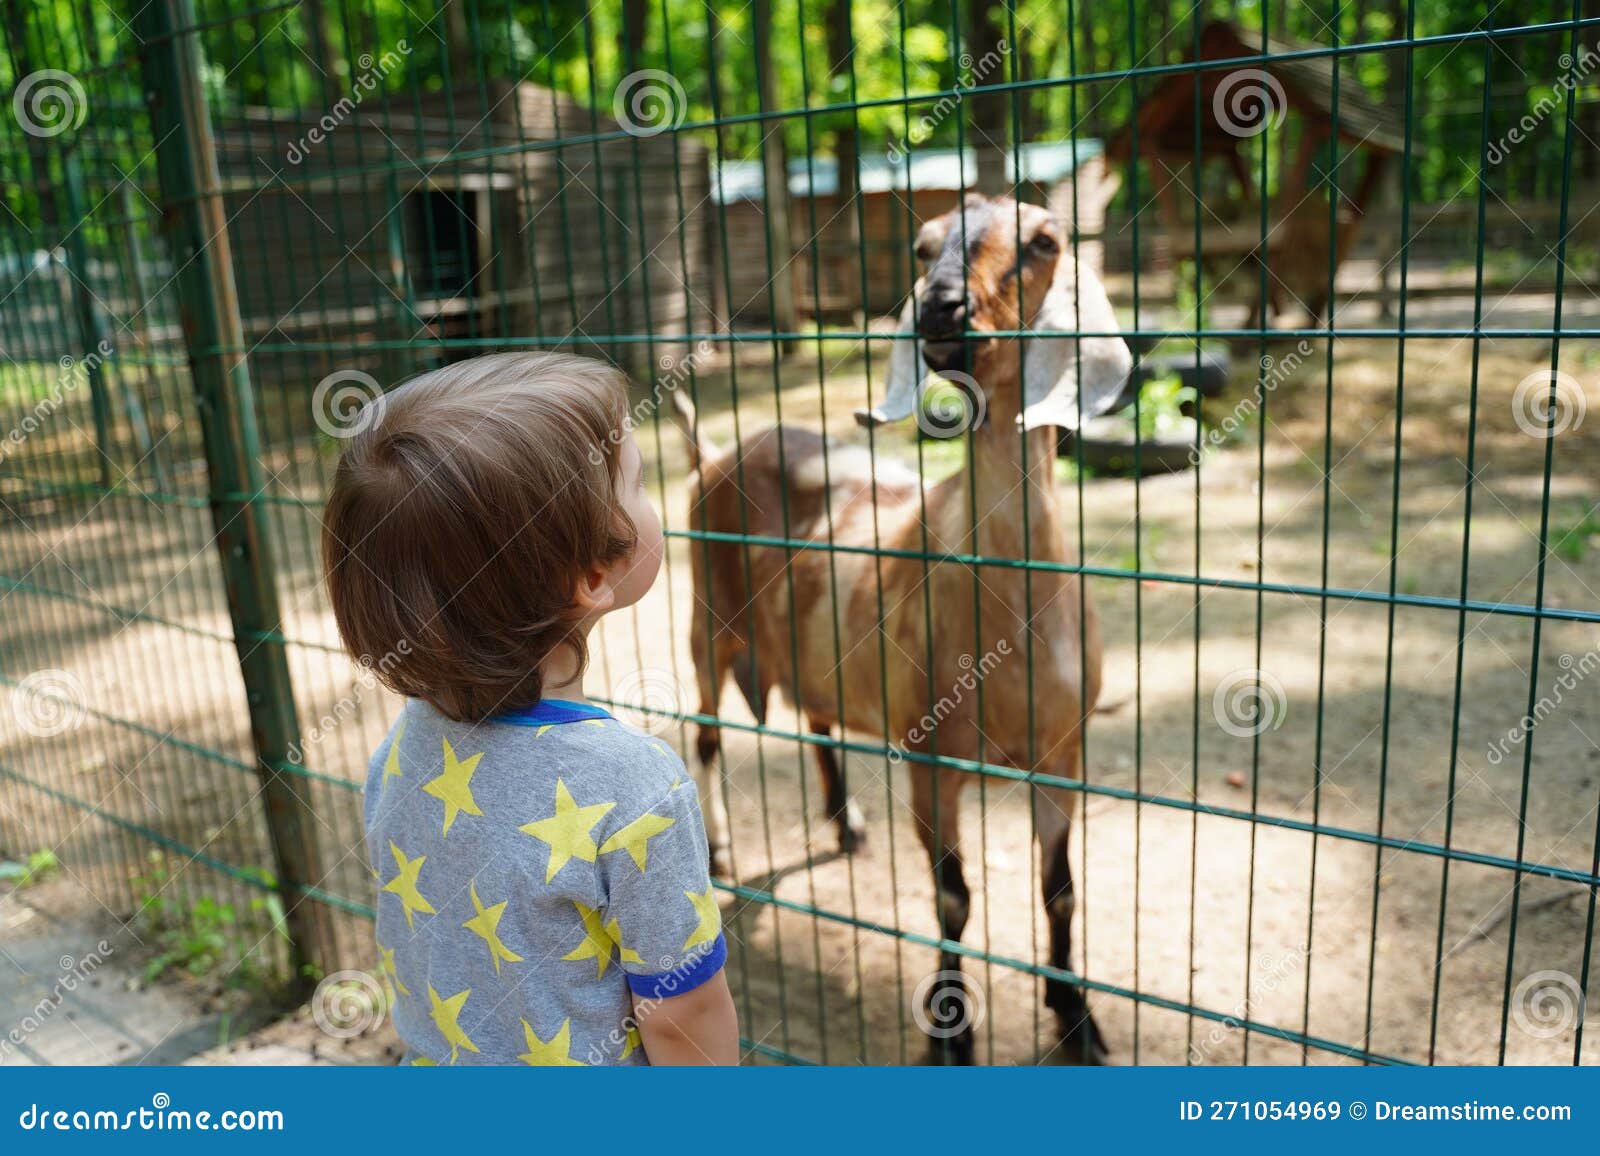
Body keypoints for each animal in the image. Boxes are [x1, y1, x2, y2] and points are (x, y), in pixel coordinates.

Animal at [673, 193, 1132, 1063]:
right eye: (923, 245)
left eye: (1043, 240)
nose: (940, 308)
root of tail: (713, 452)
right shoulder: (930, 758)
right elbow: (953, 896)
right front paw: (954, 1031)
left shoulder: (1064, 751)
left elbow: (1059, 890)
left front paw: (1077, 1018)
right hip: (707, 621)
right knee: (706, 734)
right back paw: (717, 850)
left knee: (815, 714)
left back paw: (846, 824)